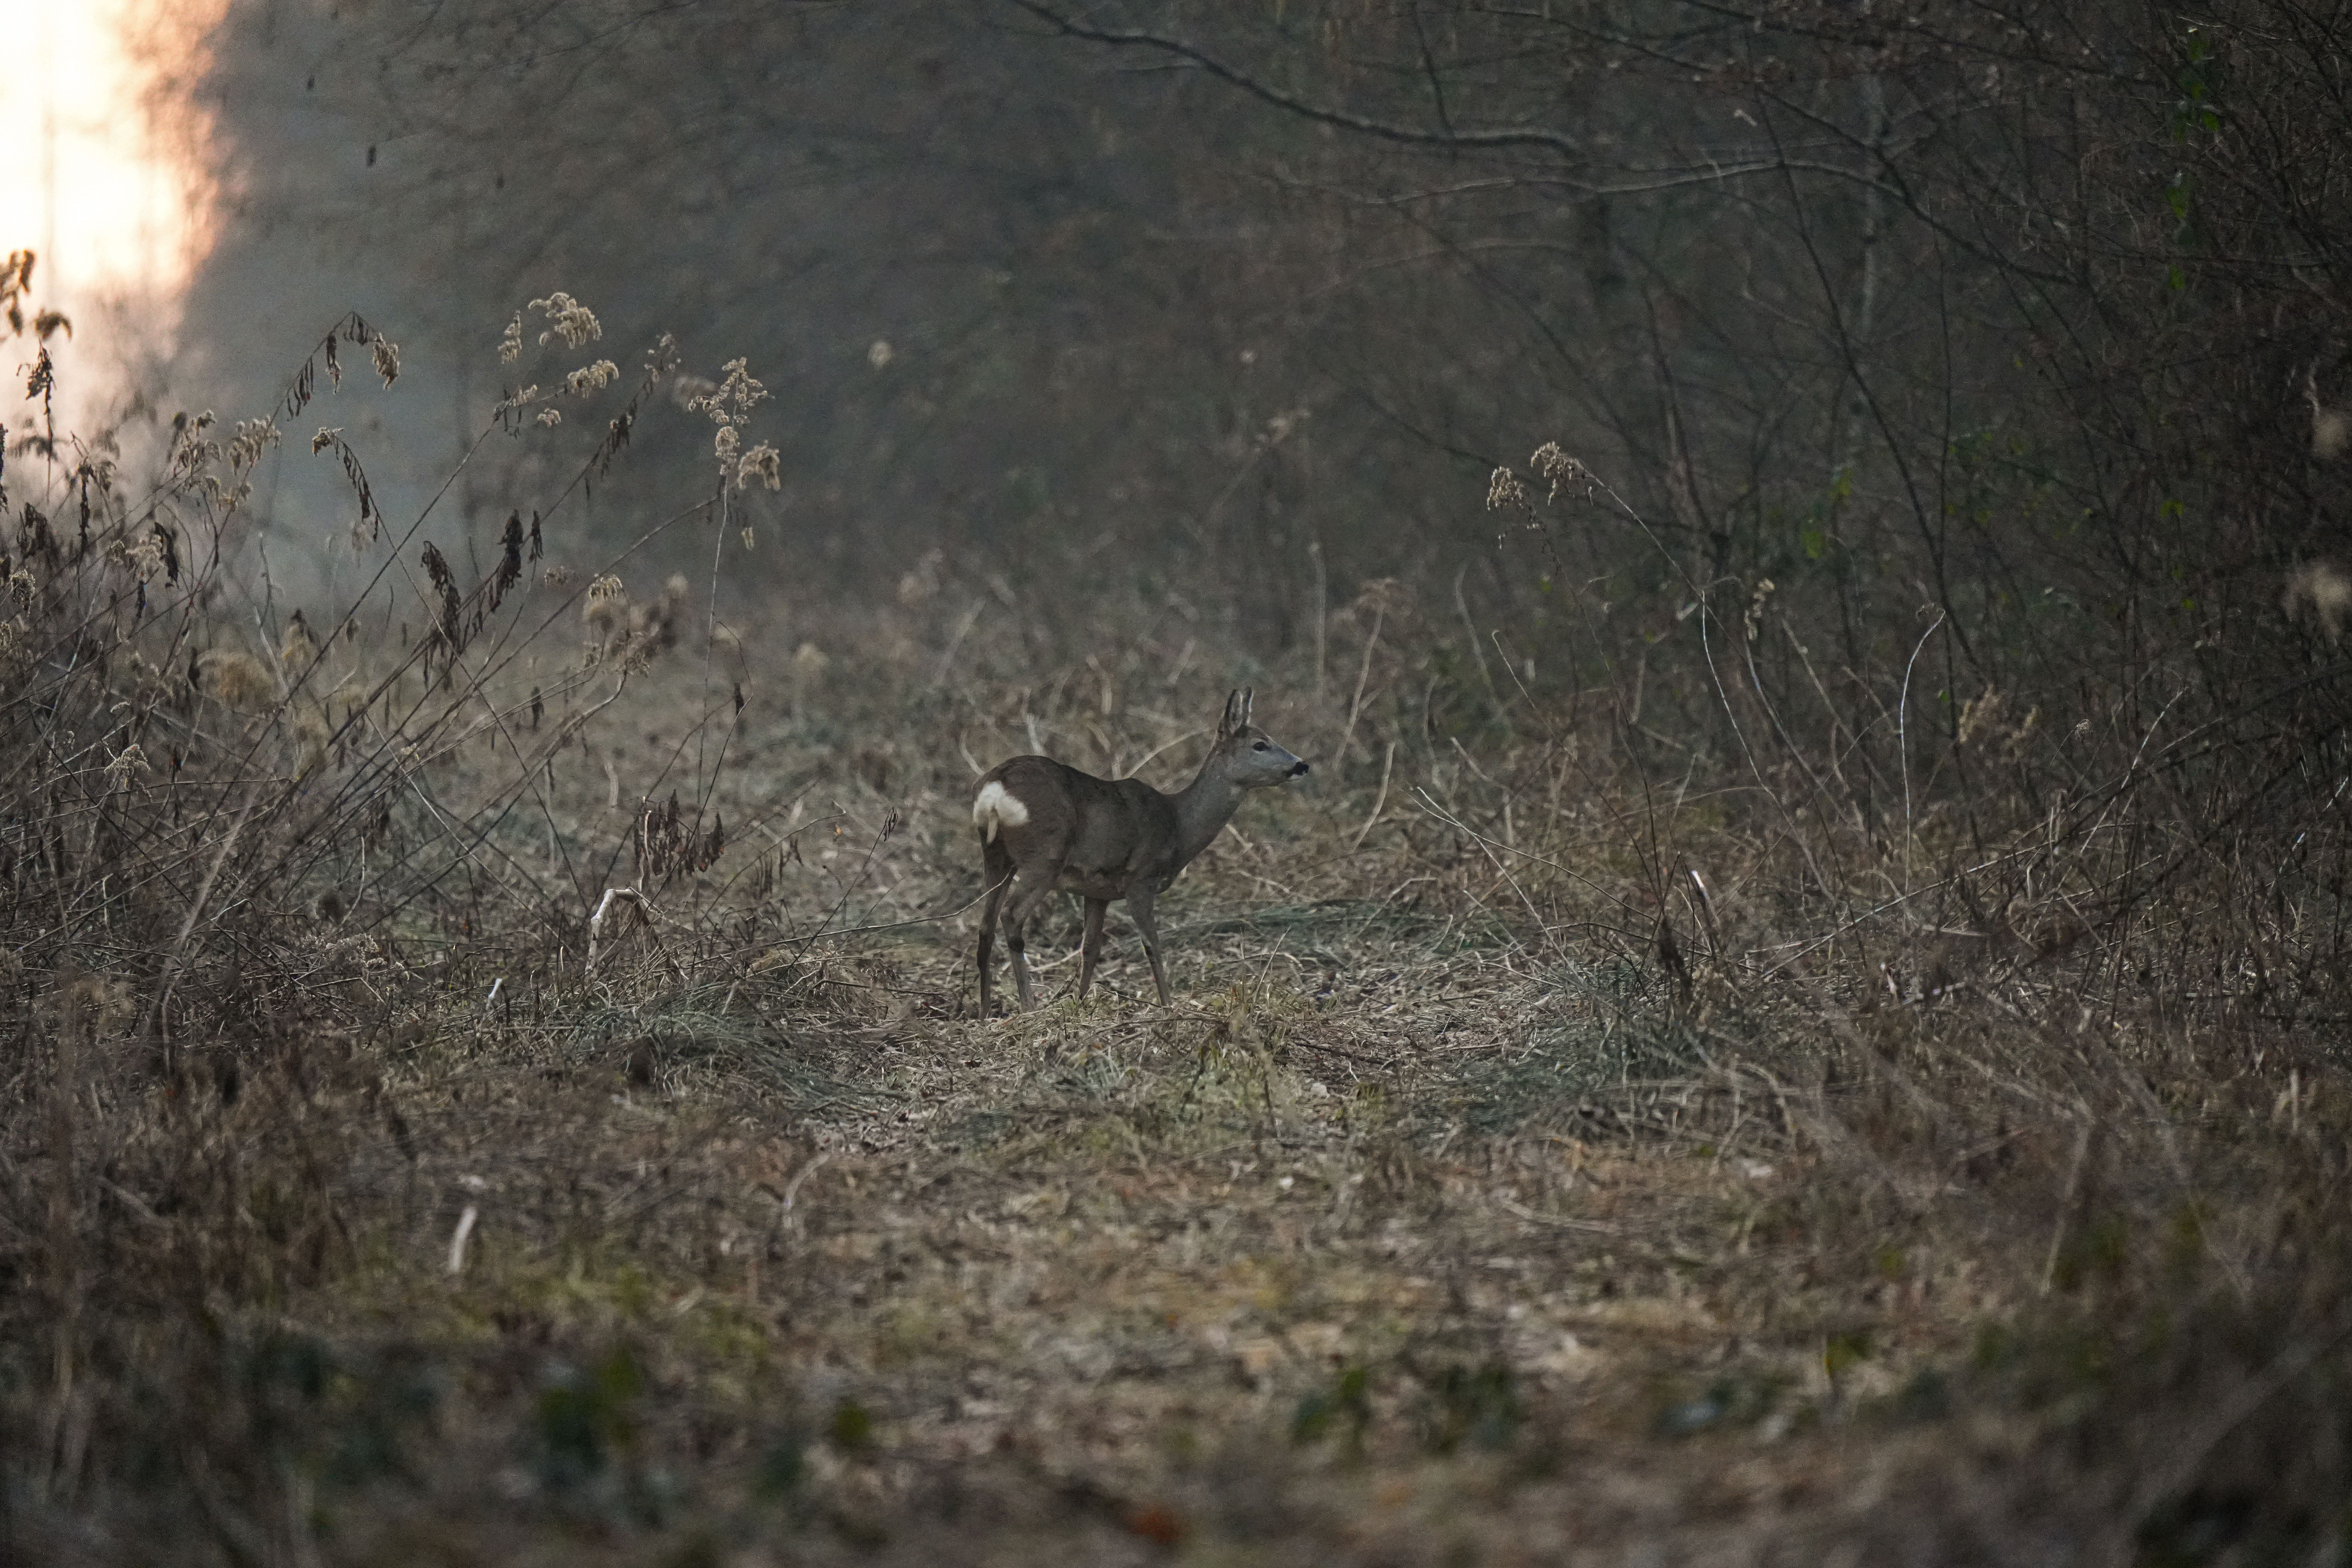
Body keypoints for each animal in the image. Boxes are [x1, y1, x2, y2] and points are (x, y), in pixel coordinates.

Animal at [971, 689, 1309, 1017]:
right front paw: (1169, 1008)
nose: (1301, 765)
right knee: (1011, 915)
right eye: (1260, 745)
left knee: (986, 925)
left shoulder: (1098, 892)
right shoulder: (1141, 879)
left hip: (996, 855)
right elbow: (1153, 947)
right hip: (1044, 856)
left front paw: (1080, 1006)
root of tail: (995, 791)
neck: (1178, 825)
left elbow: (1090, 949)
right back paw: (1028, 1007)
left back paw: (985, 1011)